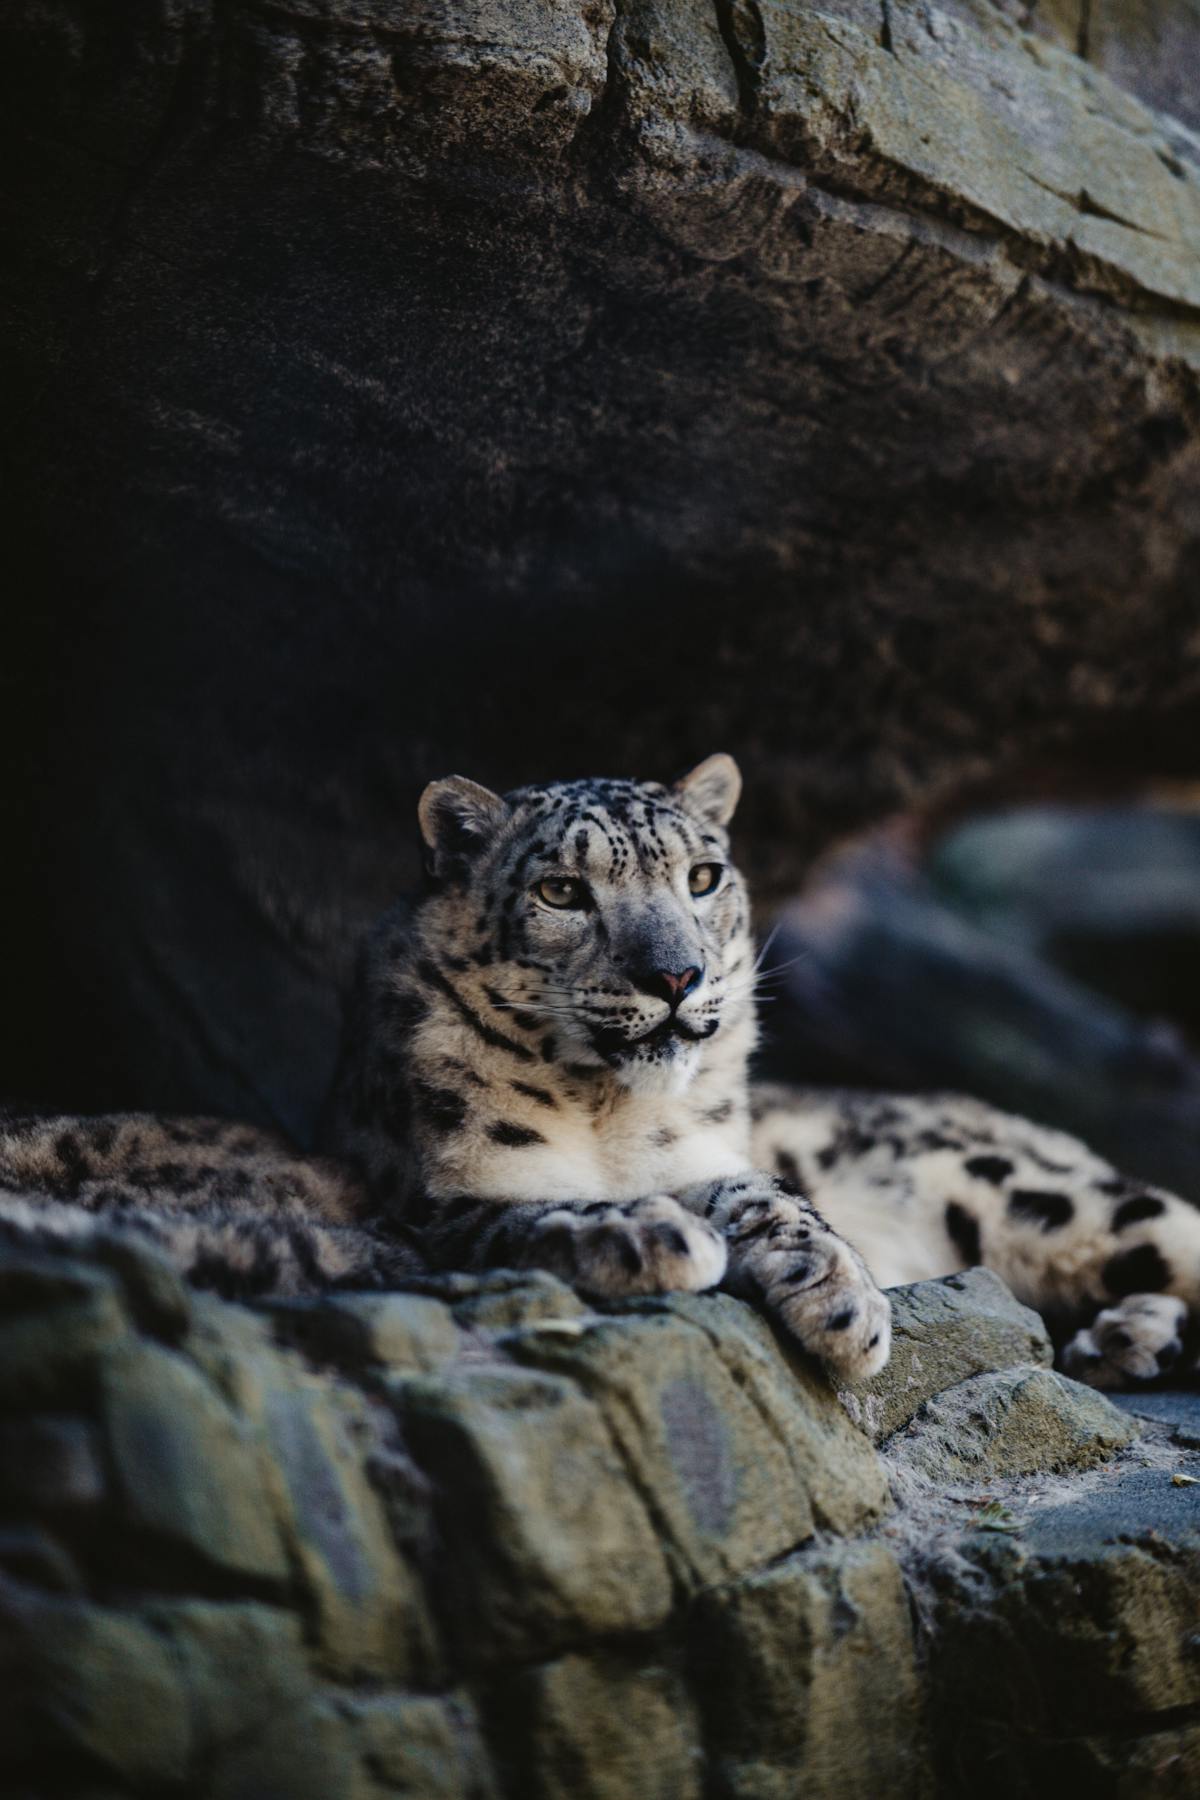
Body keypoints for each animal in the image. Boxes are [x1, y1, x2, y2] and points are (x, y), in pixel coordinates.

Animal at [4, 752, 1200, 1391]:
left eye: (703, 876)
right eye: (563, 893)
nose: (674, 975)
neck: (611, 1116)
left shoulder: (717, 1153)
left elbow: (773, 1195)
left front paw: (846, 1308)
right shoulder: (429, 1202)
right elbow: (531, 1213)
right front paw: (656, 1236)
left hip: (1046, 1199)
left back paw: (1129, 1334)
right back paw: (1127, 1340)